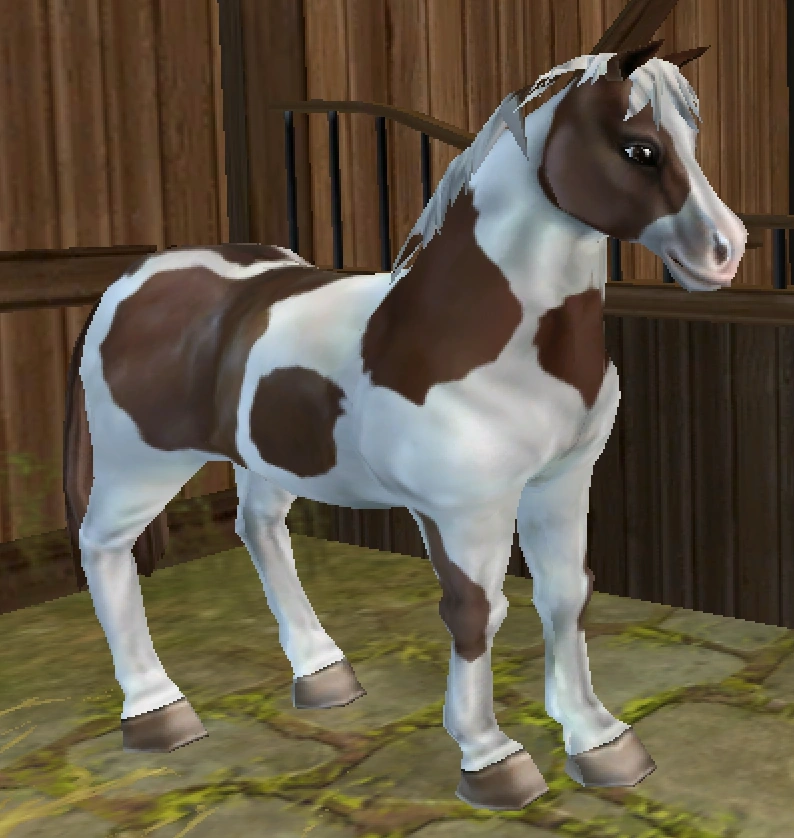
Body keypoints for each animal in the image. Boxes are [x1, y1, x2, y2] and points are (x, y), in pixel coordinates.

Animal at [63, 41, 746, 811]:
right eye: (639, 148)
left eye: (692, 139)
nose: (727, 249)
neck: (474, 335)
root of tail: (132, 281)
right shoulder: (462, 511)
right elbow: (475, 612)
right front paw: (490, 758)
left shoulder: (562, 482)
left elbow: (566, 596)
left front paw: (599, 739)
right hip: (141, 464)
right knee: (103, 548)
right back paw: (157, 710)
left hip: (267, 458)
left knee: (258, 529)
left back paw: (322, 672)